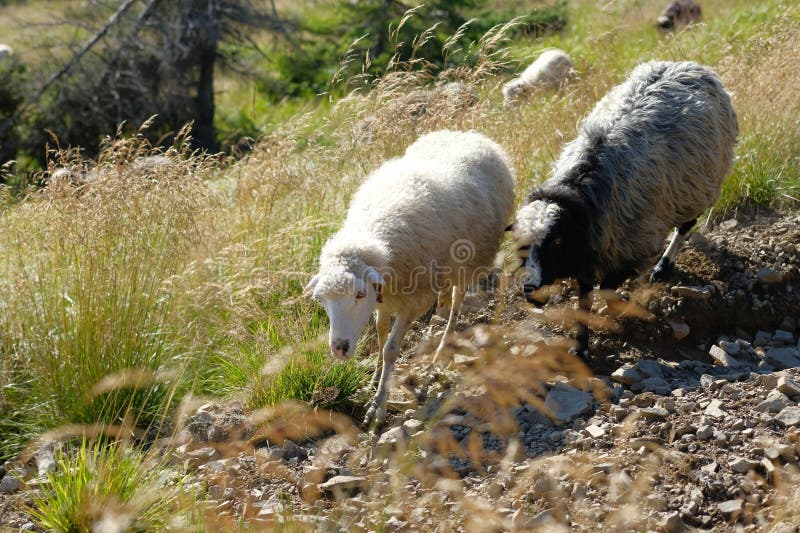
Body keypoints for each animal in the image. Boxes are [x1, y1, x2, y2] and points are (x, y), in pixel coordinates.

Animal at [305, 130, 515, 427]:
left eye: (359, 294)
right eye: (321, 300)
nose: (339, 349)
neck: (375, 234)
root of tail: (468, 134)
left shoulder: (412, 301)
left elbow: (391, 348)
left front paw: (378, 406)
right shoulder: (384, 298)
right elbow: (380, 333)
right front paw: (374, 379)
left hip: (470, 262)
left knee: (457, 300)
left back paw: (441, 349)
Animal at [511, 61, 737, 357]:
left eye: (556, 240)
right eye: (521, 244)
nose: (530, 288)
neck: (582, 189)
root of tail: (691, 66)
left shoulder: (628, 249)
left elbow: (605, 291)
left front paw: (616, 312)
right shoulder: (589, 253)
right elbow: (584, 300)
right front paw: (580, 346)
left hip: (695, 188)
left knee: (685, 226)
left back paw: (663, 267)